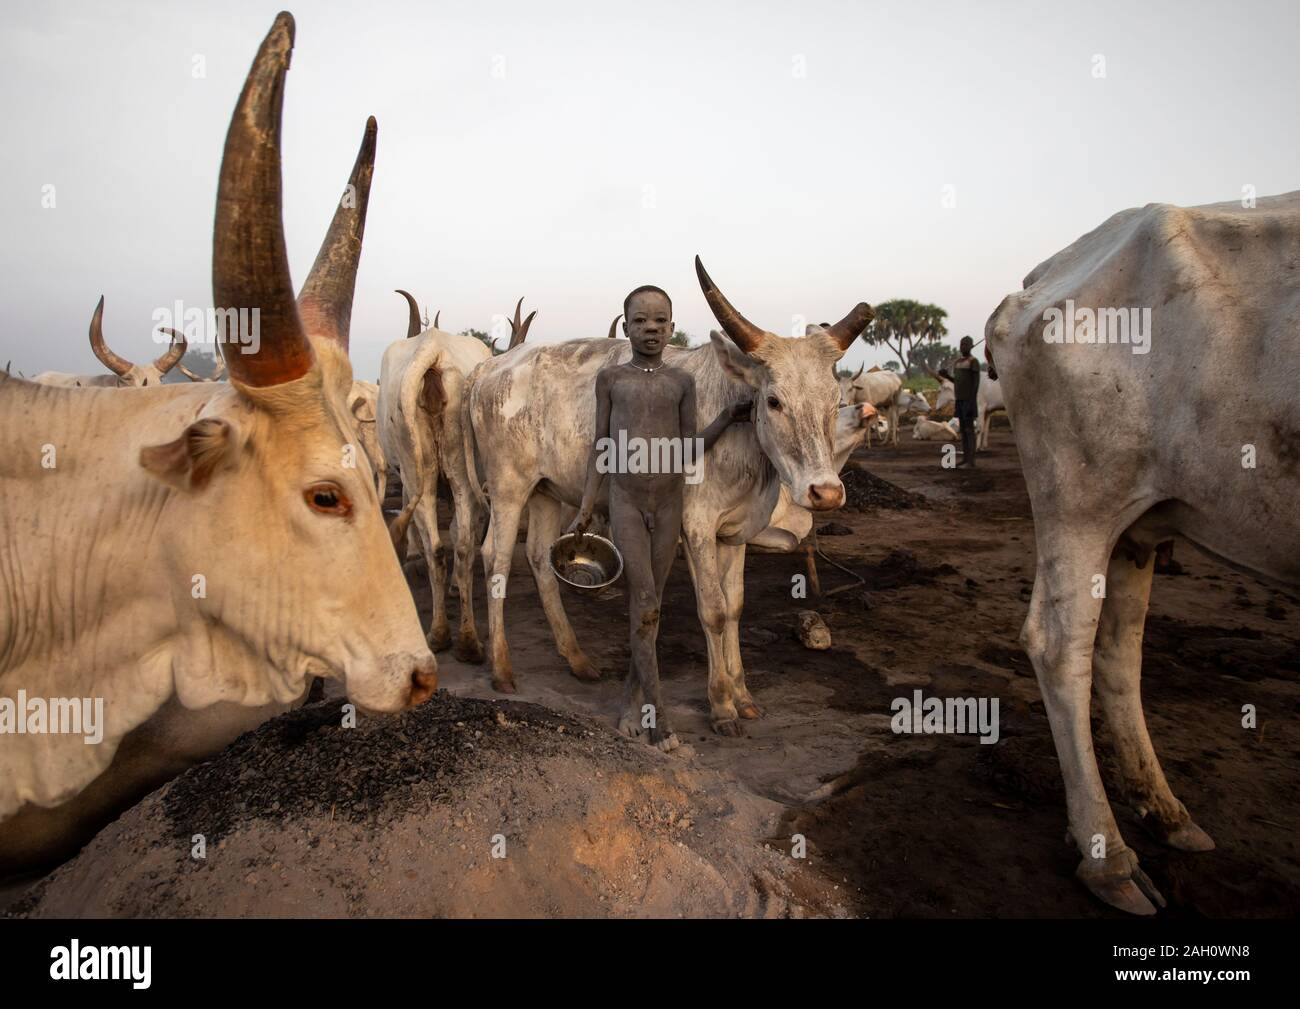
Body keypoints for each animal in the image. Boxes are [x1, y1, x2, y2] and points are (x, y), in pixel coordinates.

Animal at [377, 291, 492, 662]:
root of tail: (433, 350)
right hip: (453, 472)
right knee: (455, 546)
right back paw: (460, 638)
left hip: (425, 472)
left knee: (444, 545)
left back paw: (448, 635)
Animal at [463, 257, 872, 733]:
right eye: (773, 400)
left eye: (834, 400)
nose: (825, 492)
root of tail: (491, 368)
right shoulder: (696, 528)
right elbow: (713, 610)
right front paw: (721, 705)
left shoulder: (733, 534)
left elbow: (734, 606)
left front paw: (743, 695)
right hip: (508, 487)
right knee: (495, 559)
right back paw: (501, 669)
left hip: (547, 492)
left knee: (540, 559)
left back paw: (578, 661)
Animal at [986, 190, 1300, 915]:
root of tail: (1044, 275)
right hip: (1082, 498)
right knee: (1059, 645)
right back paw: (1108, 856)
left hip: (1140, 523)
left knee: (1116, 650)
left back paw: (1163, 808)